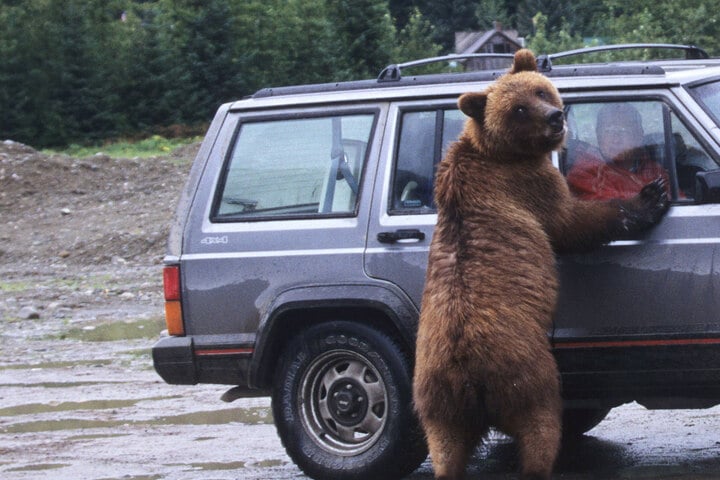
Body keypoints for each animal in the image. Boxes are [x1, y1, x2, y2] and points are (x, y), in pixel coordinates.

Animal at [413, 49, 669, 480]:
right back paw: (543, 463)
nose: (555, 116)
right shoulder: (527, 183)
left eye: (540, 90)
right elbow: (570, 222)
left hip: (438, 403)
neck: (496, 153)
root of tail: (467, 374)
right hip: (527, 376)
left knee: (445, 448)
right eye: (518, 108)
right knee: (541, 424)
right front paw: (650, 197)